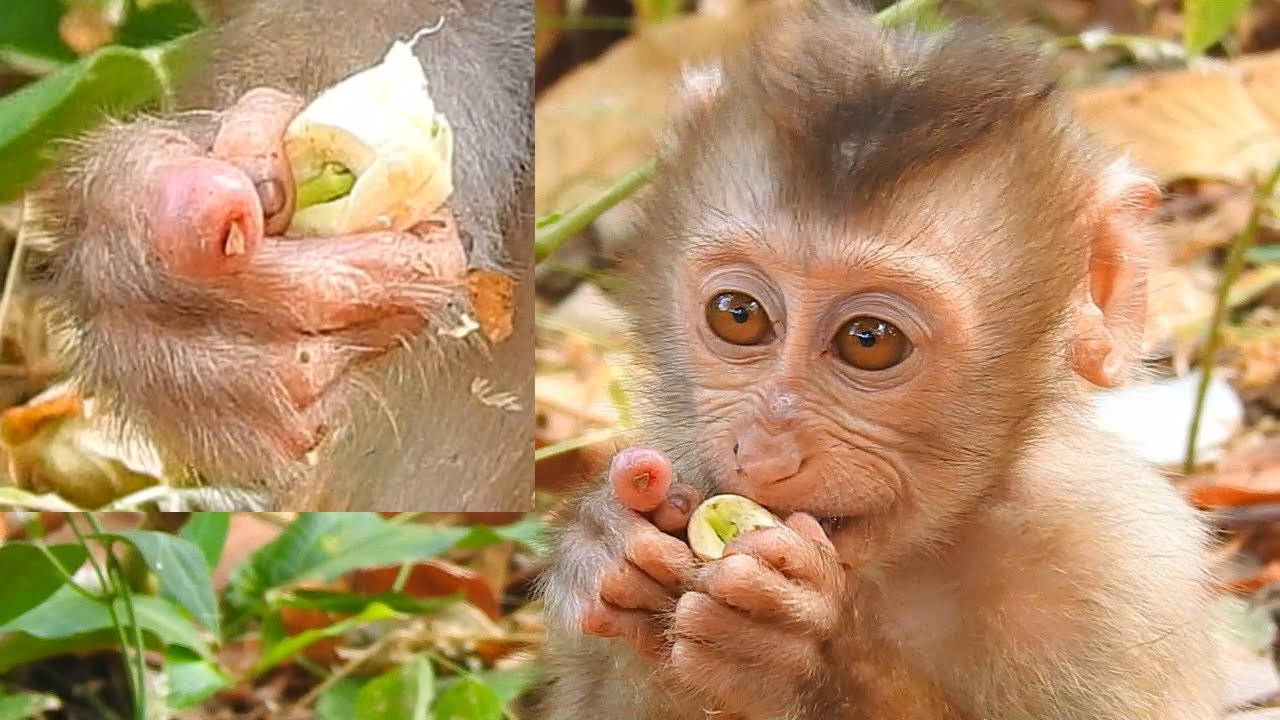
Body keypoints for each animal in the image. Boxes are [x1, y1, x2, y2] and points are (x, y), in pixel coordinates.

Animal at [532, 2, 1224, 718]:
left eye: (870, 340)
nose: (765, 454)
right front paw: (607, 542)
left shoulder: (1118, 573)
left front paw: (782, 647)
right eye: (738, 315)